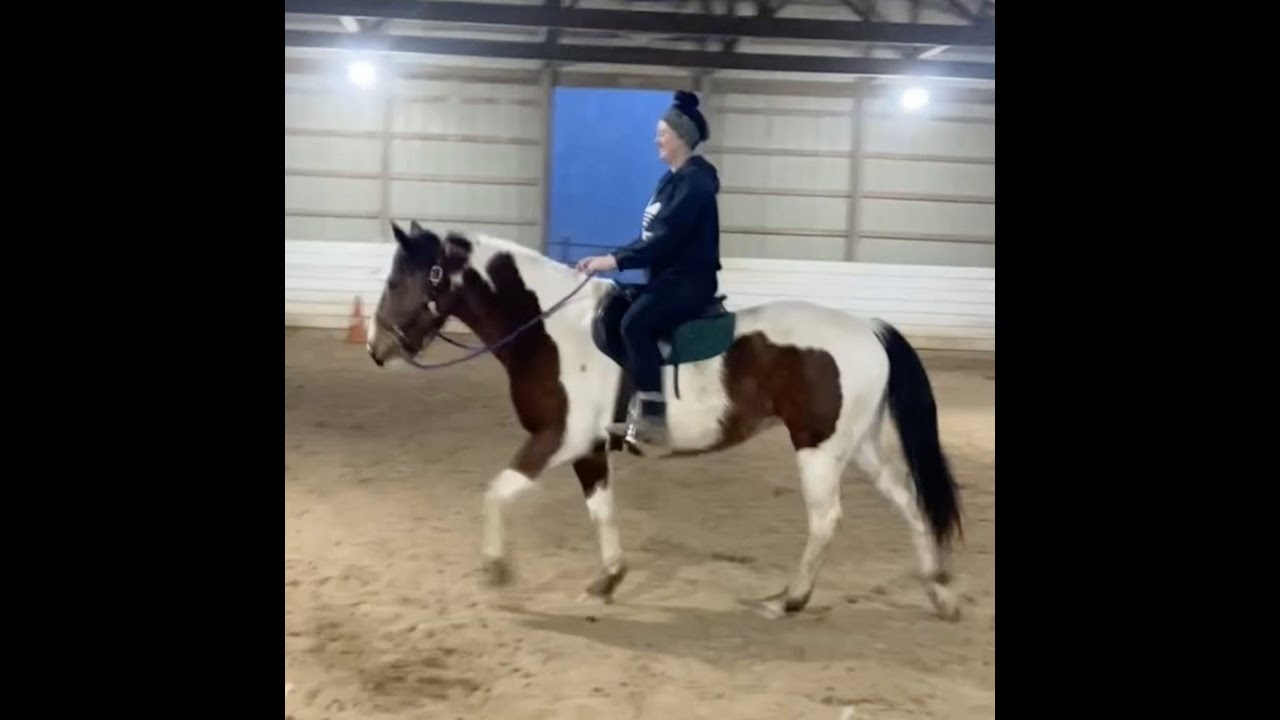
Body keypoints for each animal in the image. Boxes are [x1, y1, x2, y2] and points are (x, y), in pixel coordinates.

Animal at [366, 221, 965, 620]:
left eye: (397, 282)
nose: (375, 347)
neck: (550, 330)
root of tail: (868, 328)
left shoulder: (560, 438)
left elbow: (496, 491)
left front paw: (496, 570)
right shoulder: (589, 448)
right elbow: (601, 511)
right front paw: (607, 581)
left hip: (819, 448)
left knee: (825, 519)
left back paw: (789, 599)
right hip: (857, 446)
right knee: (908, 500)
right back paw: (937, 590)